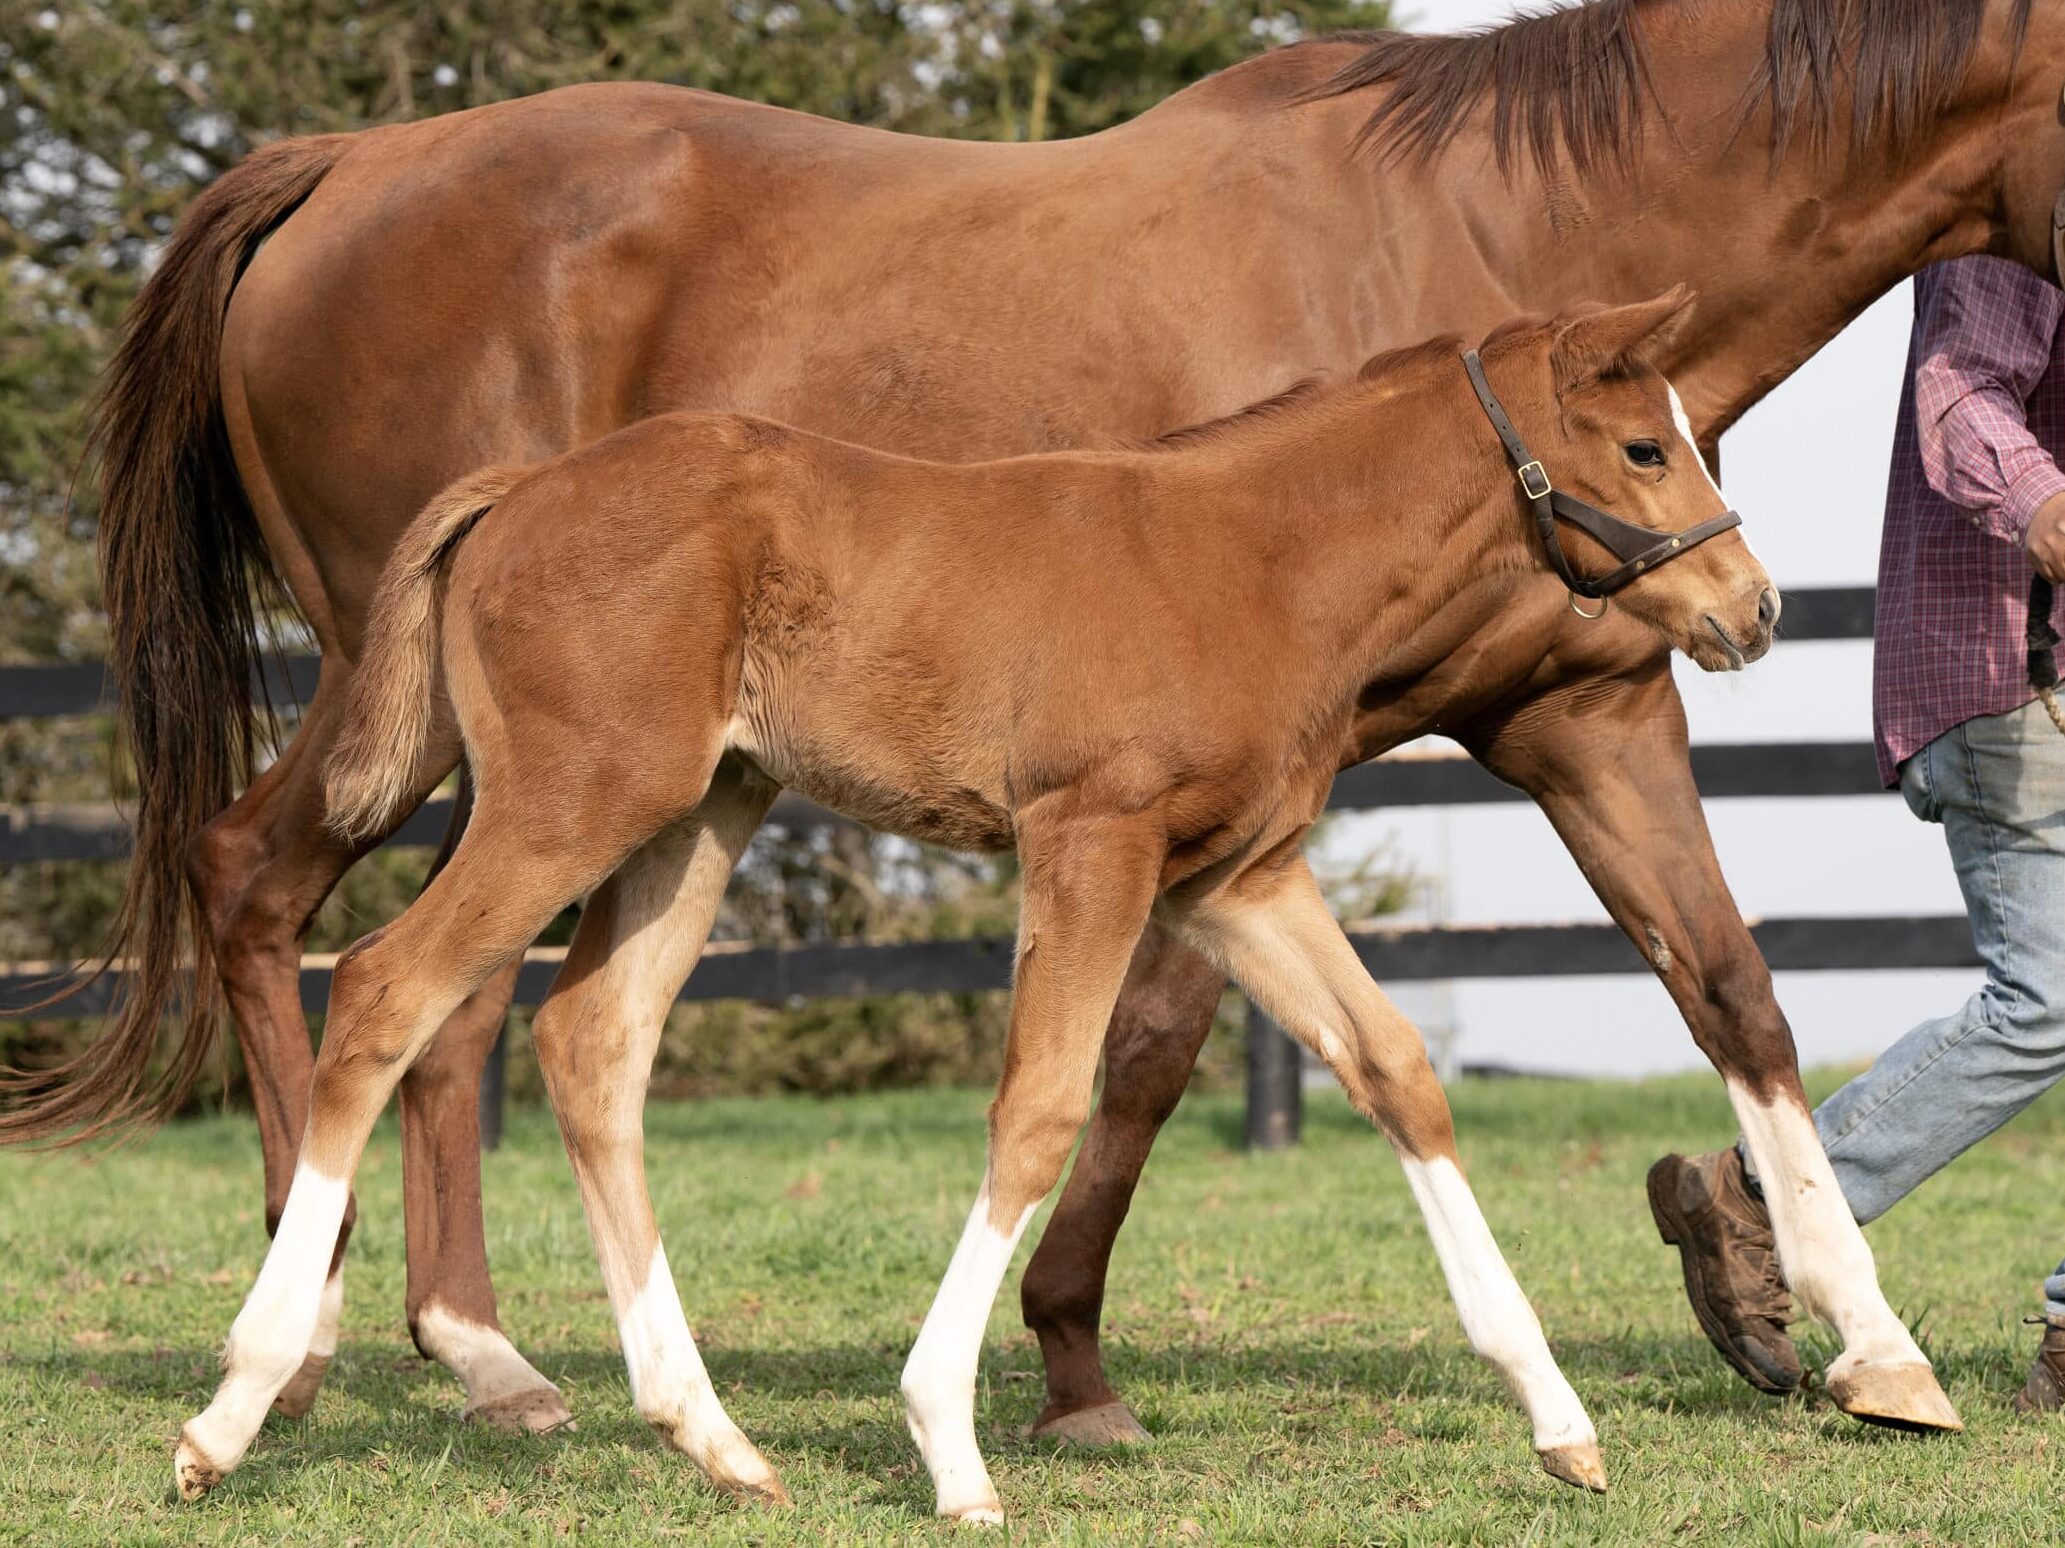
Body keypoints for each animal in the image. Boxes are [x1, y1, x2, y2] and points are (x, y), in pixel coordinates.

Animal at [173, 295, 1775, 1517]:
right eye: (1644, 446)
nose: (1750, 610)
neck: (1252, 557)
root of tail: (521, 486)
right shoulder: (1090, 841)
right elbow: (1041, 1103)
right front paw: (947, 1443)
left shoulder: (1235, 877)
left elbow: (1394, 1069)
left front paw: (1558, 1418)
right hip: (573, 800)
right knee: (384, 988)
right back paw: (236, 1408)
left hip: (699, 811)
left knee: (591, 1044)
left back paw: (714, 1438)